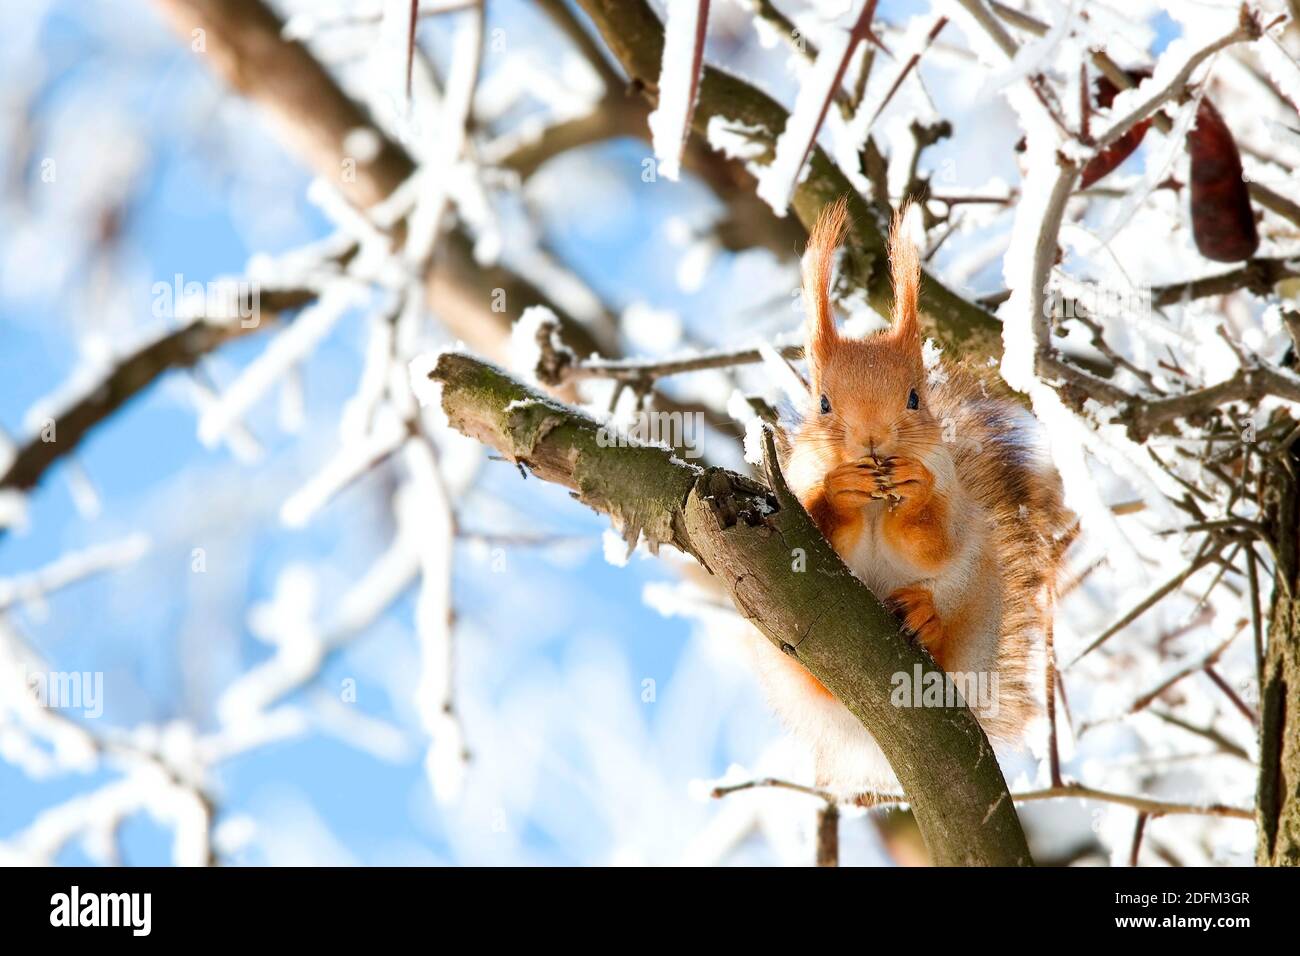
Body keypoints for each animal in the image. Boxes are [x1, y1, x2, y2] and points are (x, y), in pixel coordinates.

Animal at [747, 197, 1077, 795]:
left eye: (914, 397)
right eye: (823, 403)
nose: (874, 439)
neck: (879, 506)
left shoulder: (954, 503)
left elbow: (937, 542)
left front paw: (914, 491)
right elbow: (818, 522)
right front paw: (842, 489)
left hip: (977, 612)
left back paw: (926, 618)